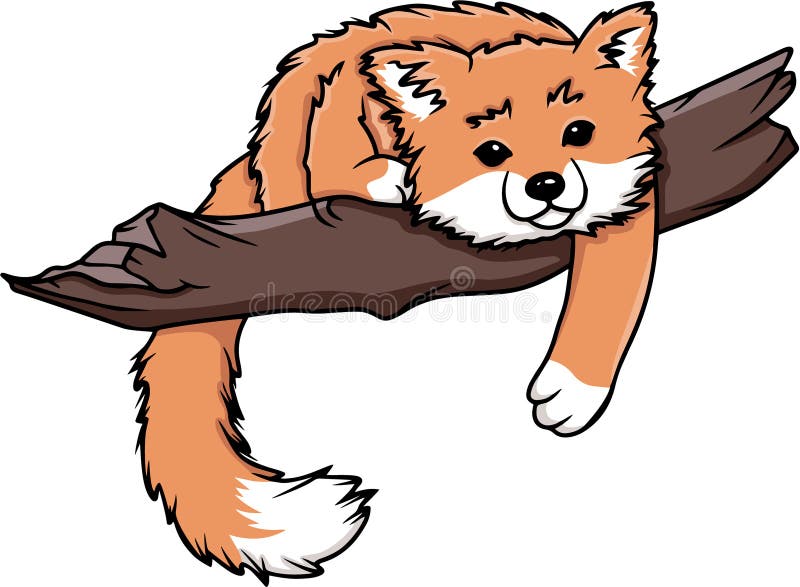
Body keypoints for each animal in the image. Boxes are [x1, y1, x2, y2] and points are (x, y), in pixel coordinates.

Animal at [133, 2, 659, 583]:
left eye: (579, 131)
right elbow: (336, 165)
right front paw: (394, 179)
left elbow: (611, 291)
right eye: (492, 151)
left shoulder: (630, 199)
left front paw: (573, 388)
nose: (545, 185)